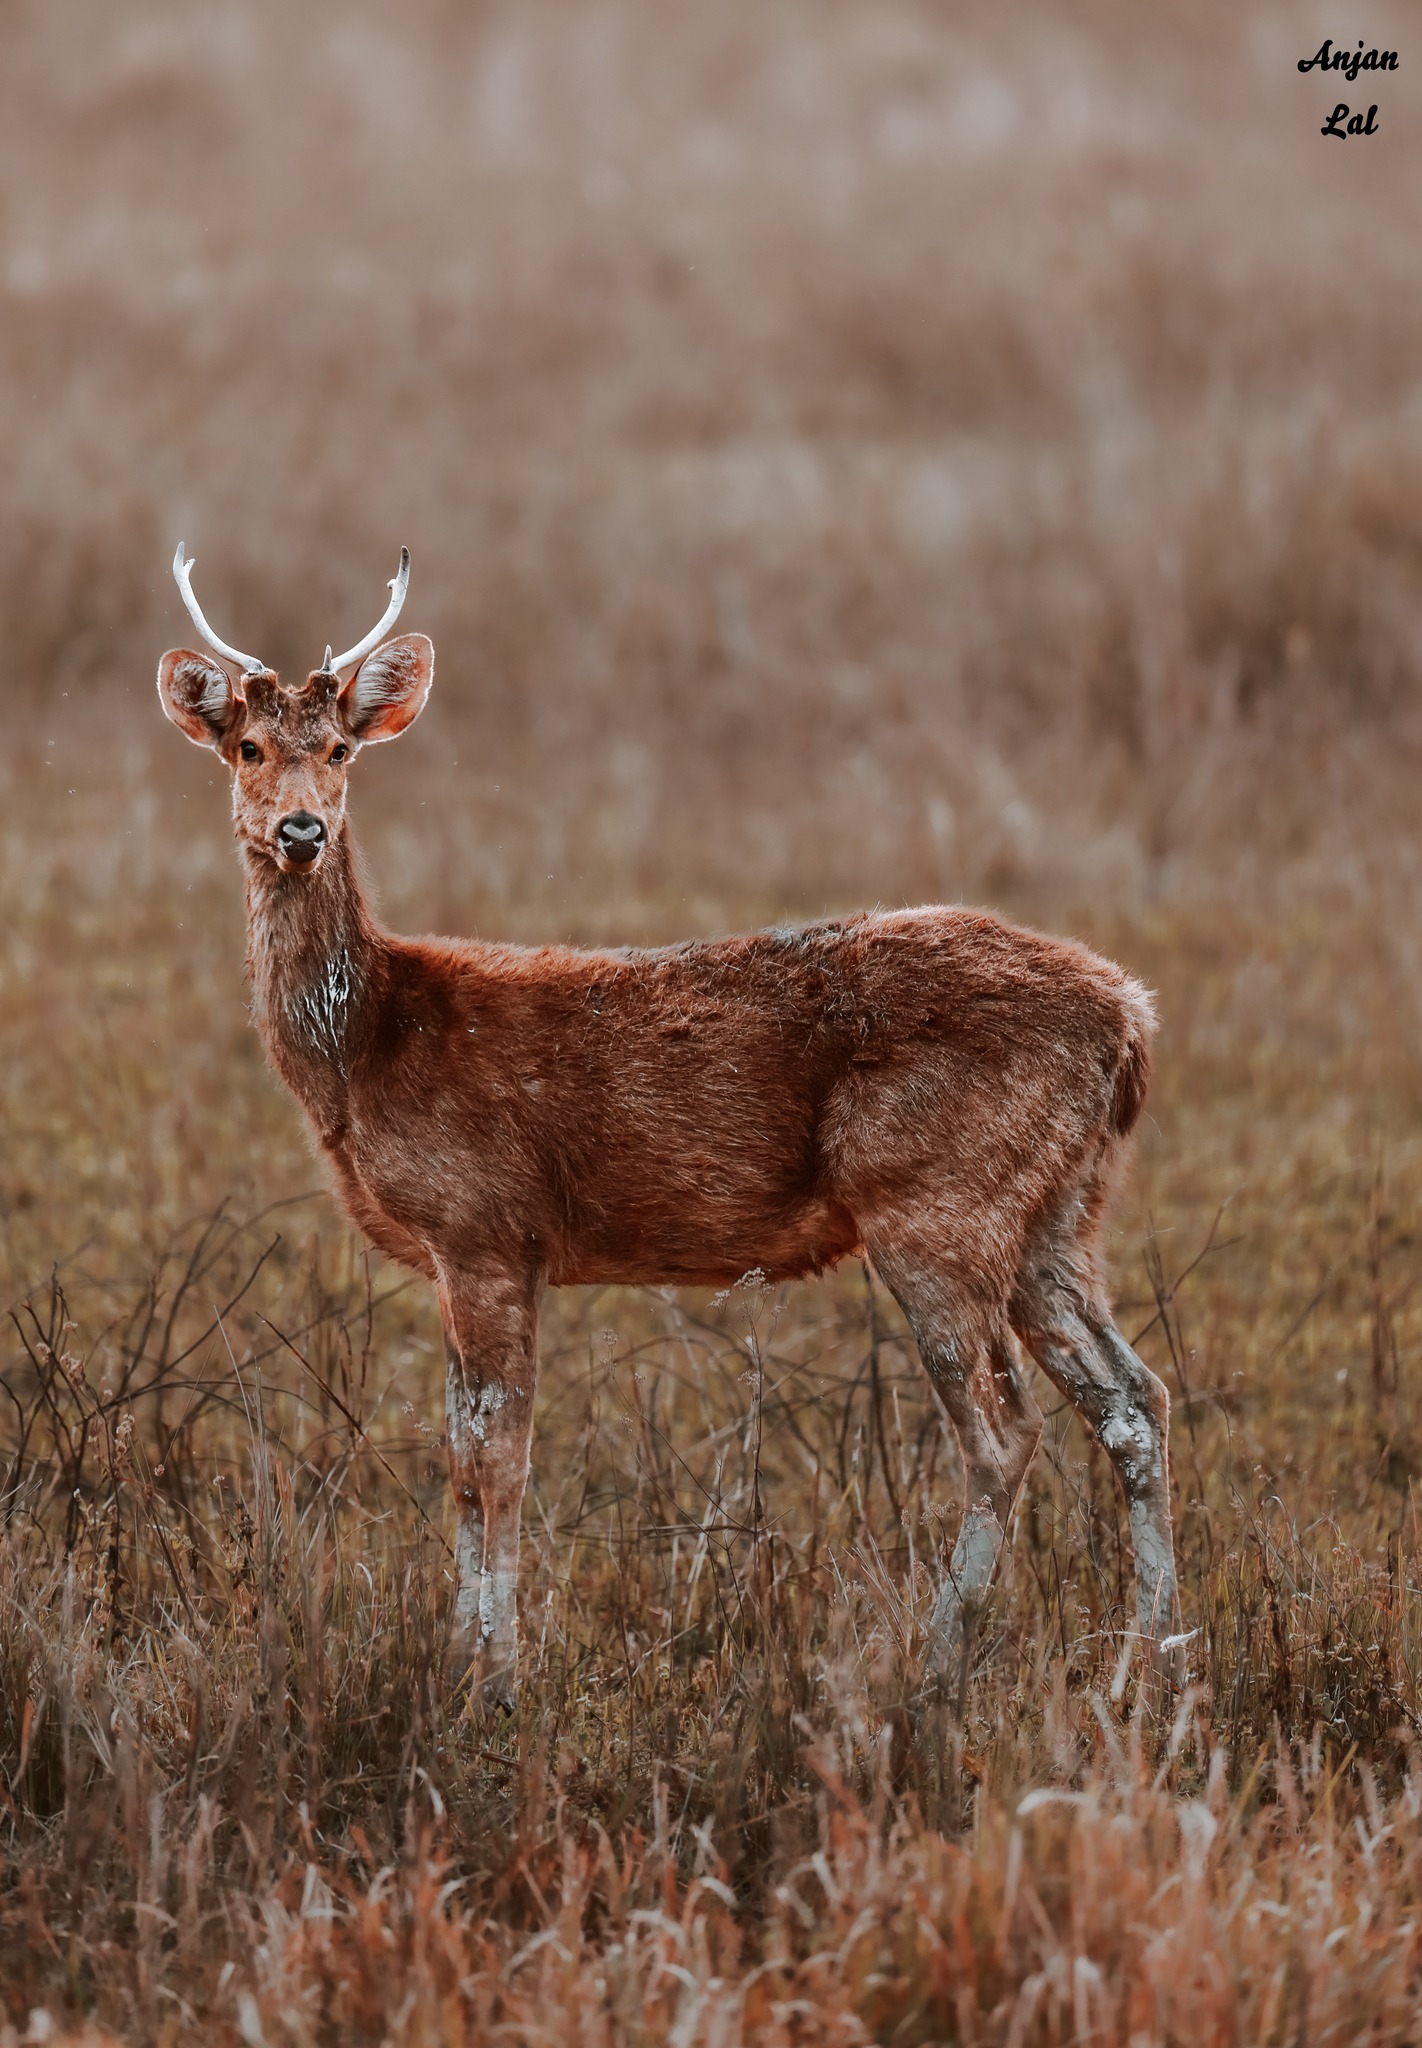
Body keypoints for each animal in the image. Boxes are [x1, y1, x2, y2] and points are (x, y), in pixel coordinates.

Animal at [156, 545, 1186, 1706]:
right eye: (247, 746)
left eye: (338, 749)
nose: (301, 830)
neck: (369, 1043)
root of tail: (1130, 1017)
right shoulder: (463, 1252)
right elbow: (459, 1454)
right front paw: (461, 1657)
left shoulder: (485, 1228)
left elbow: (496, 1459)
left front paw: (495, 1677)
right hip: (1059, 1213)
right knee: (1134, 1400)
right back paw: (1148, 1663)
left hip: (939, 1200)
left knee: (1005, 1431)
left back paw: (933, 1668)